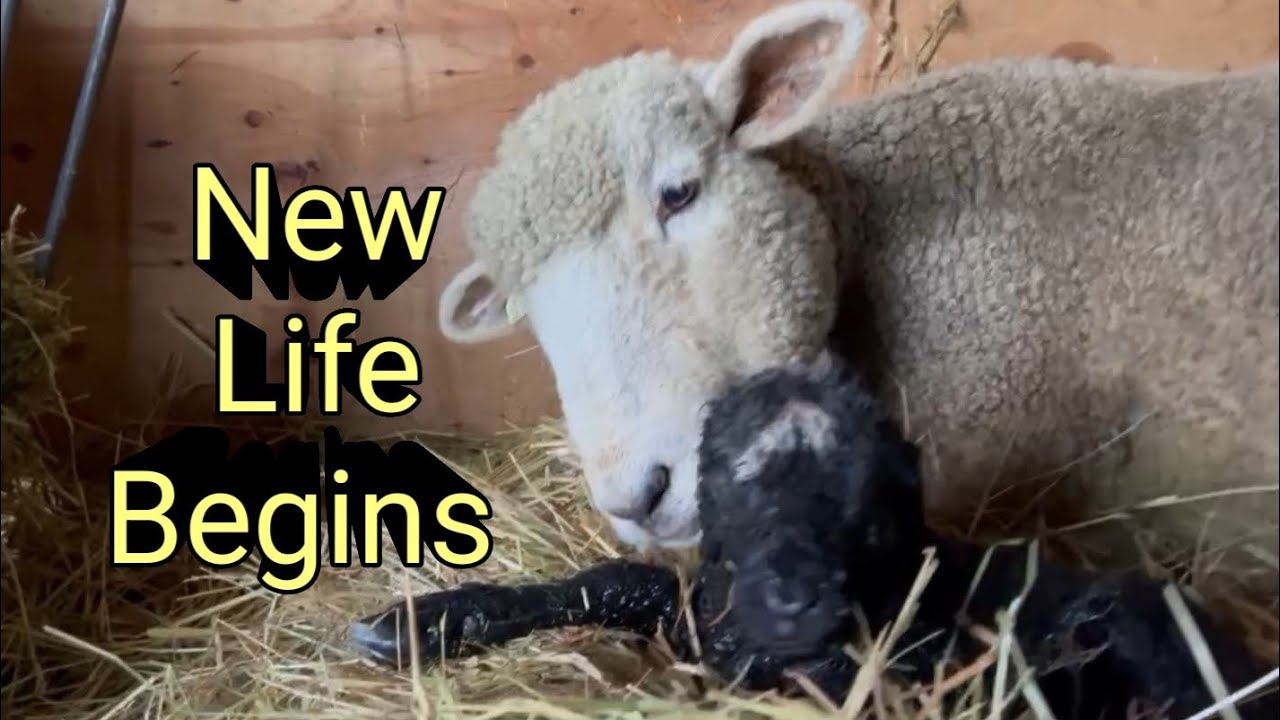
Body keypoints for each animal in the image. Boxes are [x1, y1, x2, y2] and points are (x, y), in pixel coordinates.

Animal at [349, 351, 1278, 719]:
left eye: (866, 503)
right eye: (729, 482)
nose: (793, 600)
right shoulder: (703, 613)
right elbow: (622, 582)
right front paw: (417, 624)